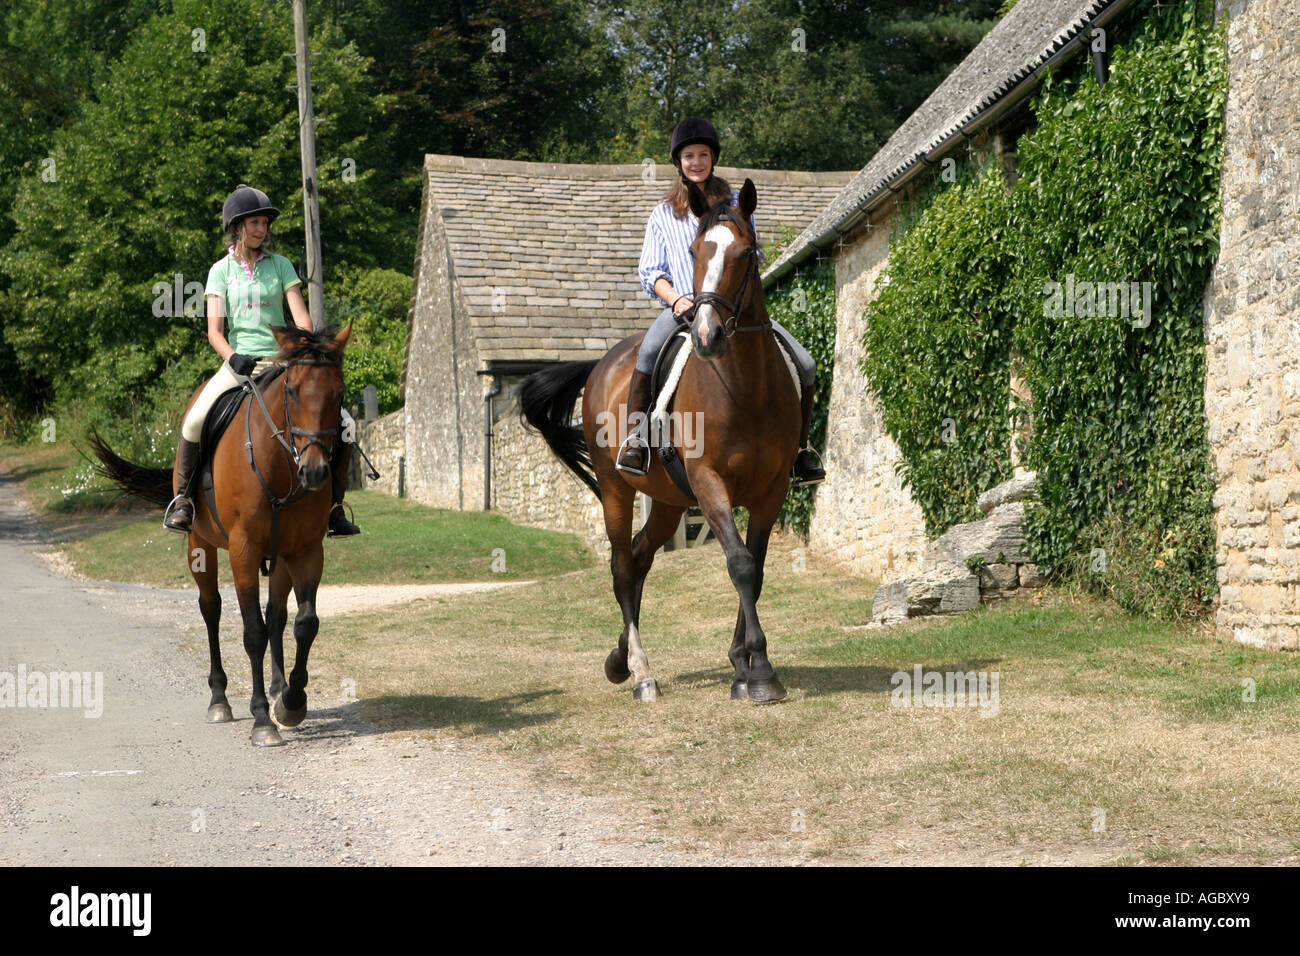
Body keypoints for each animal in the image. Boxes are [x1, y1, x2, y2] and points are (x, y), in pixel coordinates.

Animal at [90, 324, 351, 746]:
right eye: (292, 390)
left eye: (338, 392)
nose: (314, 472)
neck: (280, 464)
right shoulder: (242, 551)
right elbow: (252, 632)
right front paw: (262, 719)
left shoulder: (307, 550)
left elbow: (304, 623)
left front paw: (291, 702)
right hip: (201, 546)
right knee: (211, 610)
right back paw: (219, 700)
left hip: (280, 555)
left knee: (276, 615)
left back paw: (278, 689)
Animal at [520, 177, 801, 703]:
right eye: (694, 250)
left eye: (746, 252)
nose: (708, 335)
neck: (744, 388)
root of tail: (601, 365)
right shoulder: (709, 483)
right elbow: (739, 564)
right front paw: (760, 671)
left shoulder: (771, 491)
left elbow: (754, 567)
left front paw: (743, 665)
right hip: (617, 489)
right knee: (622, 566)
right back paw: (640, 671)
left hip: (669, 502)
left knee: (641, 554)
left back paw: (618, 660)